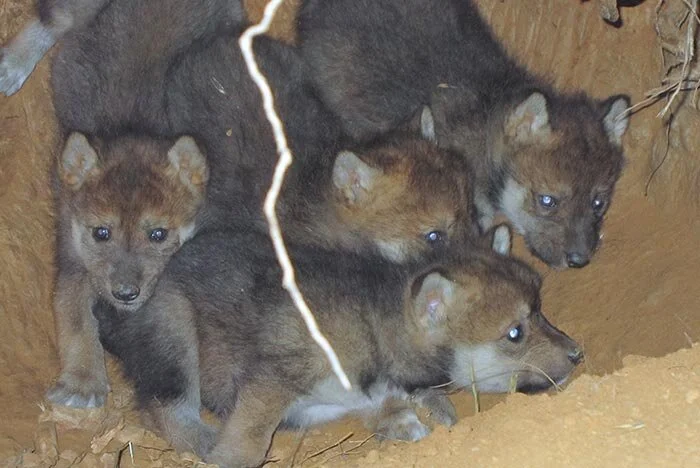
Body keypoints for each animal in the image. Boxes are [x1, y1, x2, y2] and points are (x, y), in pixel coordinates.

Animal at [94, 226, 583, 466]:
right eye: (515, 333)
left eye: (541, 310)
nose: (579, 354)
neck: (377, 328)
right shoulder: (273, 380)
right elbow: (249, 440)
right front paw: (225, 459)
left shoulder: (364, 396)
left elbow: (400, 411)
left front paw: (419, 422)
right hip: (175, 335)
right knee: (163, 408)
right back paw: (201, 440)